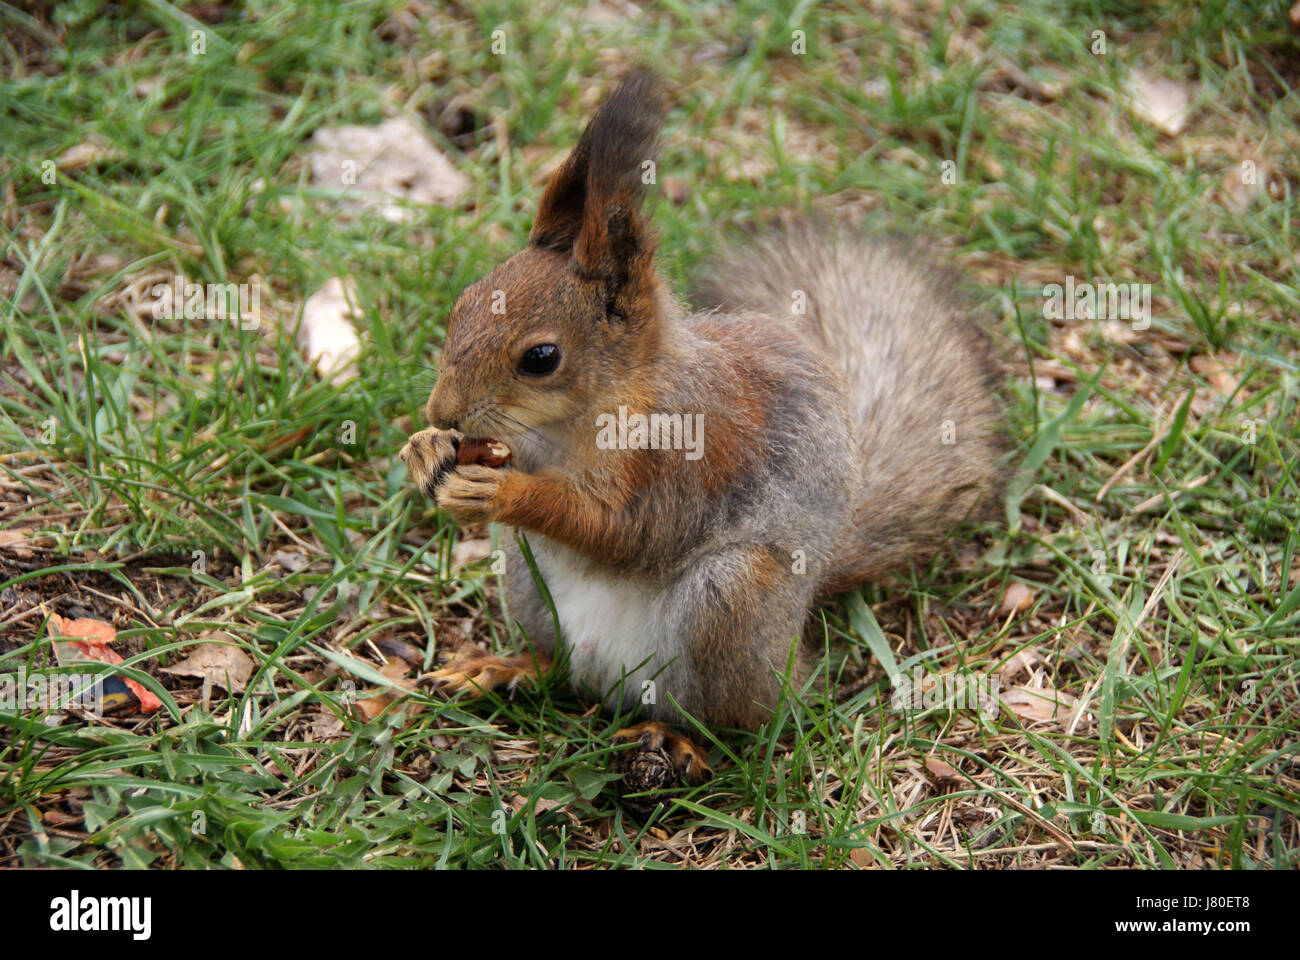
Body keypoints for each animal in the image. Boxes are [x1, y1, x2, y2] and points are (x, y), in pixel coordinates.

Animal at [399, 68, 1004, 783]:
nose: (441, 411)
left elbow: (628, 530)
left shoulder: (688, 453)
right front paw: (427, 450)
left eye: (540, 358)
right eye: (463, 304)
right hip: (526, 577)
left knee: (741, 721)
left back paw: (680, 742)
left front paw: (510, 491)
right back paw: (503, 666)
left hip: (734, 606)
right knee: (556, 663)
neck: (571, 425)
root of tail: (612, 681)